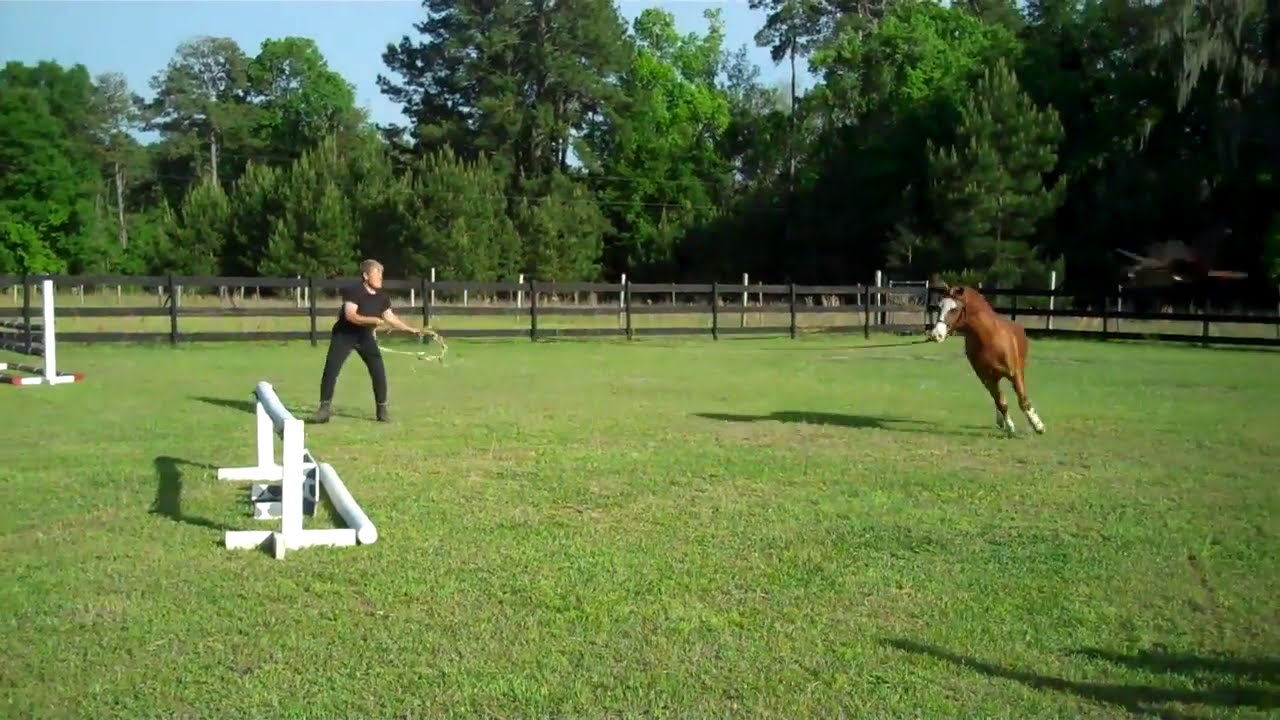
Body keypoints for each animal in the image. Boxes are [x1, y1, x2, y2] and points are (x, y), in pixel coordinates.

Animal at [926, 284, 1046, 436]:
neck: (988, 337)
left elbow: (1023, 400)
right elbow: (1001, 403)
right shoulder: (986, 378)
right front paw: (1010, 427)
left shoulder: (1014, 374)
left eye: (954, 309)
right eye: (939, 307)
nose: (936, 335)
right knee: (998, 399)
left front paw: (1038, 426)